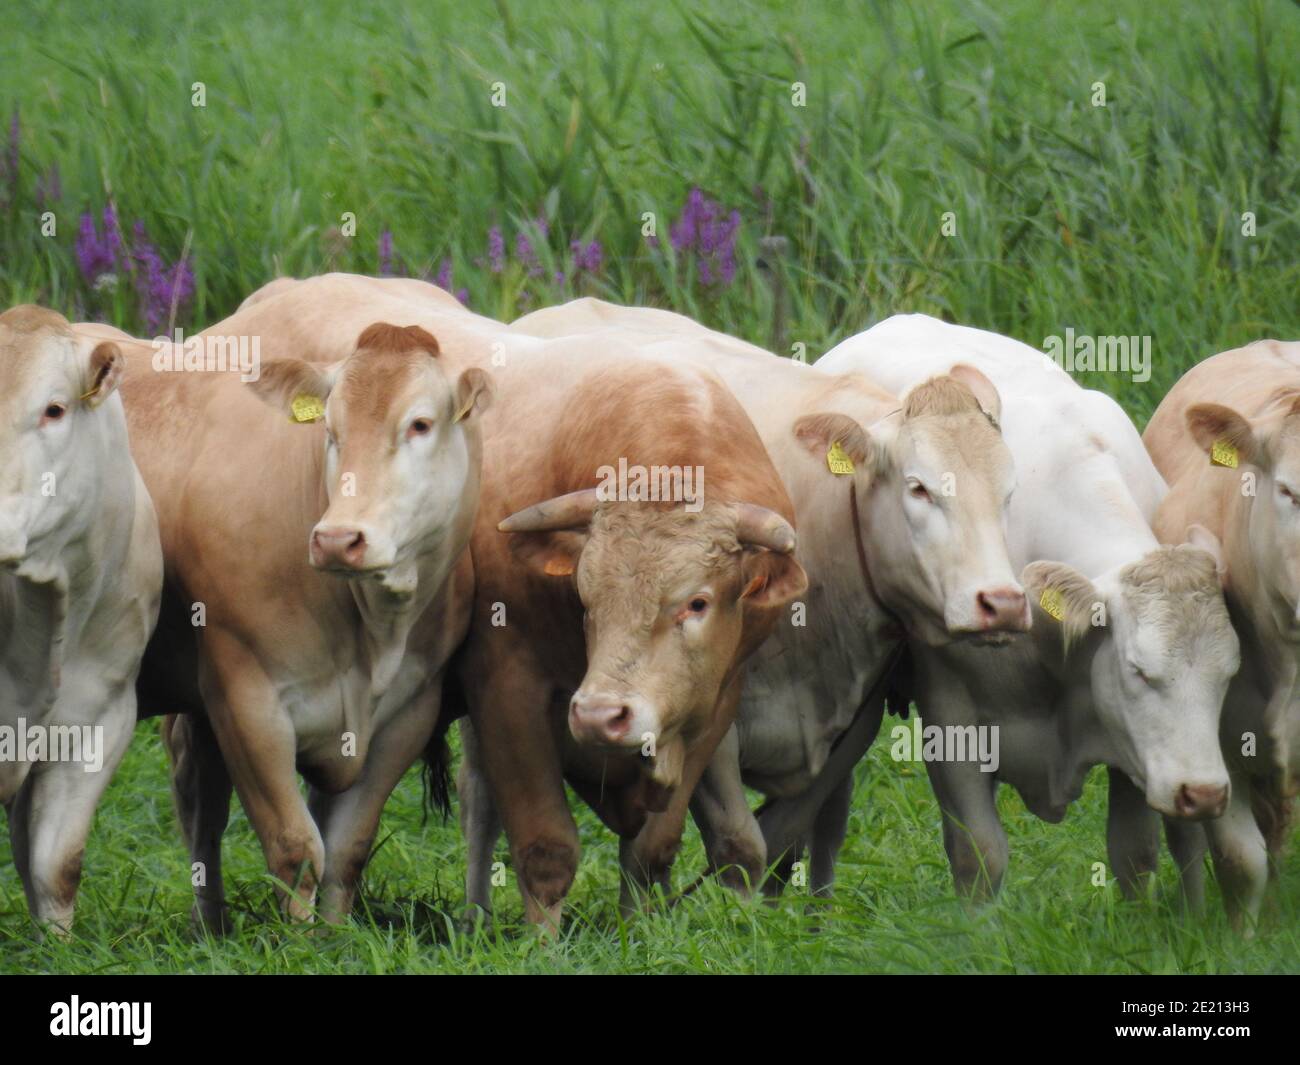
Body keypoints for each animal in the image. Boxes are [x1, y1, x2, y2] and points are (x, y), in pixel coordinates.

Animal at [77, 283, 492, 928]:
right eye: (330, 430)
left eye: (421, 424)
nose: (339, 539)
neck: (369, 632)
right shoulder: (247, 700)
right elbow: (296, 848)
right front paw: (298, 939)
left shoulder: (409, 711)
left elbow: (347, 848)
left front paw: (336, 935)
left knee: (197, 789)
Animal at [498, 298, 1029, 902]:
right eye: (918, 488)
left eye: (1009, 492)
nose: (1001, 602)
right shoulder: (712, 716)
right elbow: (737, 846)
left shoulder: (849, 724)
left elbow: (784, 836)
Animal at [819, 314, 1238, 901]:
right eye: (1138, 670)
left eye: (1229, 675)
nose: (1203, 794)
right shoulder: (952, 721)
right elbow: (980, 857)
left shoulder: (1128, 747)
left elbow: (1135, 857)